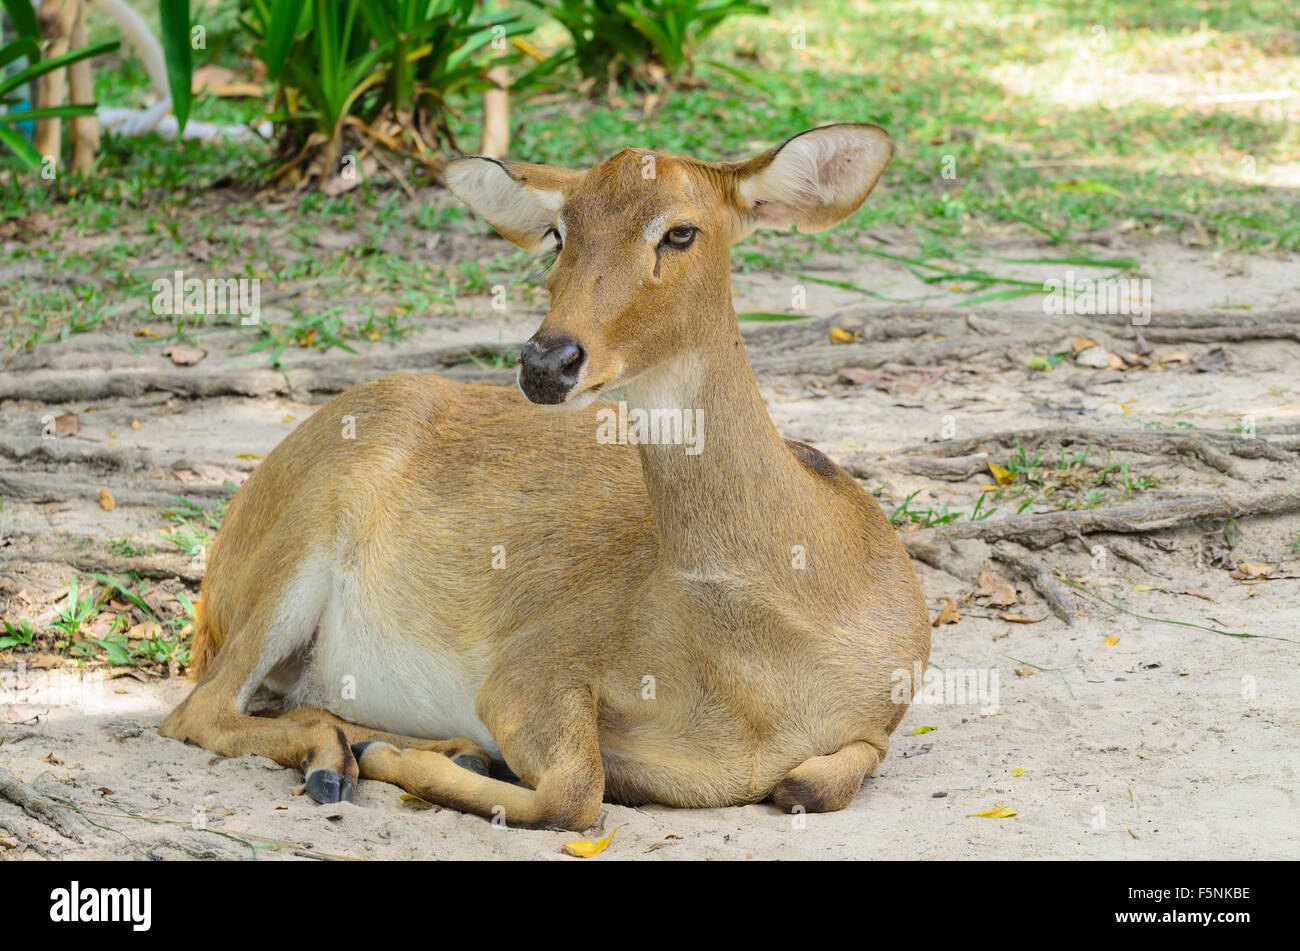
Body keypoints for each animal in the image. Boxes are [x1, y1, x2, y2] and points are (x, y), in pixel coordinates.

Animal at [159, 123, 932, 832]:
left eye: (681, 231)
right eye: (559, 233)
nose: (546, 361)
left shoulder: (877, 724)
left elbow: (810, 783)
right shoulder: (534, 663)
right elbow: (577, 790)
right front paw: (411, 761)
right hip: (297, 543)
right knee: (198, 710)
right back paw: (345, 762)